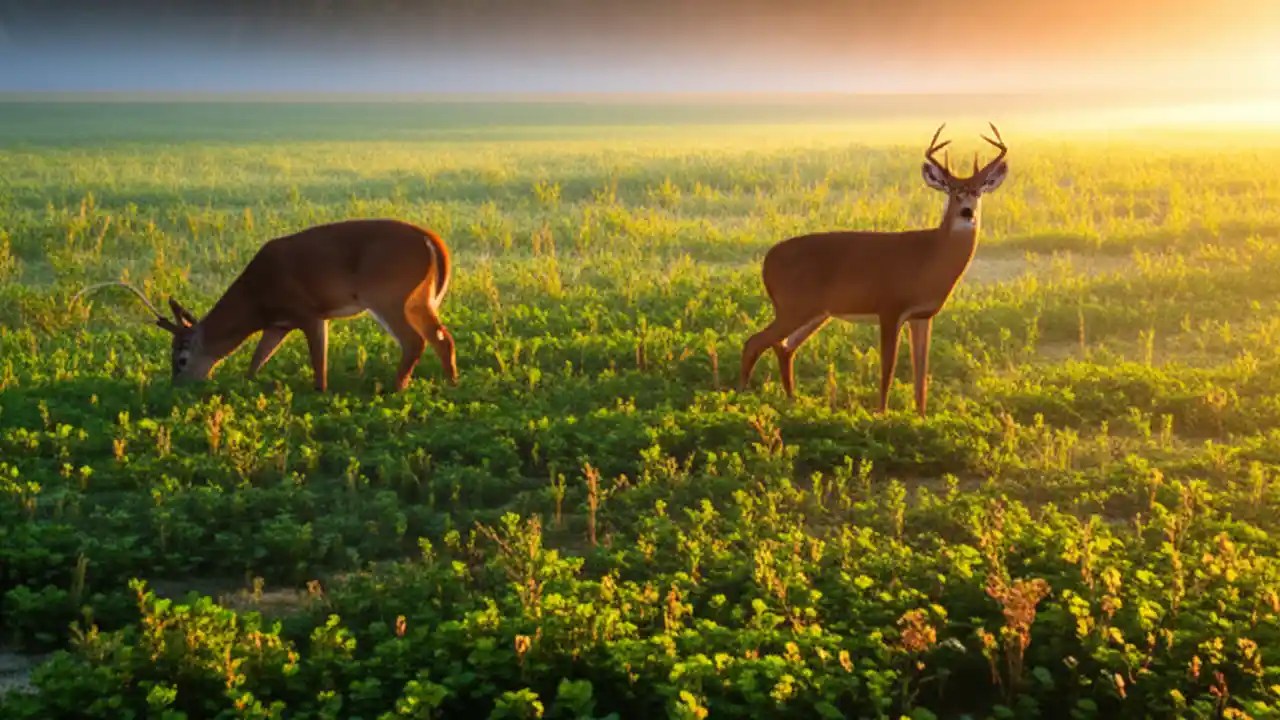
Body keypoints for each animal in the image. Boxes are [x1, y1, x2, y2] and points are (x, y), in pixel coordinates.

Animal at [74, 218, 458, 392]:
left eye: (181, 359)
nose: (177, 386)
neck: (256, 299)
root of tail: (430, 239)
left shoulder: (309, 312)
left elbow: (318, 360)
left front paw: (319, 392)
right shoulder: (278, 324)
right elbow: (258, 358)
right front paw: (246, 383)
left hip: (388, 295)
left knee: (416, 340)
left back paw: (396, 387)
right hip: (418, 298)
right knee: (442, 337)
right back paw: (451, 381)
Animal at [739, 123, 1009, 417]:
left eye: (978, 190)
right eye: (952, 190)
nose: (967, 212)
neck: (930, 258)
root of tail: (767, 261)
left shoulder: (923, 315)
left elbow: (921, 374)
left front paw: (921, 416)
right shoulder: (890, 307)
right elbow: (887, 368)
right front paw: (881, 414)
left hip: (815, 312)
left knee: (784, 347)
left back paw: (791, 400)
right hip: (793, 307)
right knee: (754, 342)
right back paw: (739, 398)